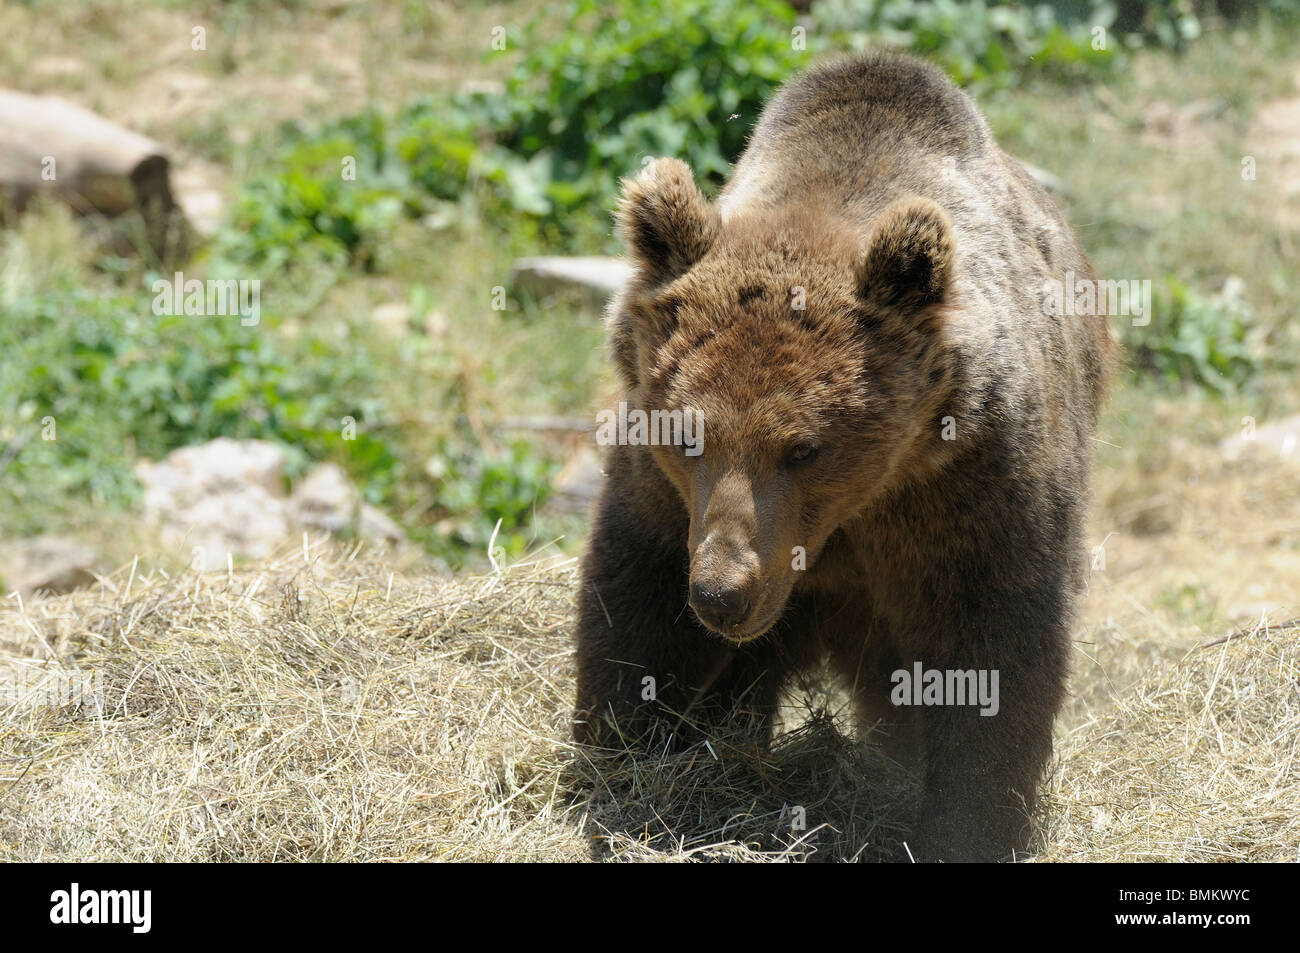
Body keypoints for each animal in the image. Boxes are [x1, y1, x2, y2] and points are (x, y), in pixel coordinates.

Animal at [573, 51, 1113, 862]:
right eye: (689, 434)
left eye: (804, 447)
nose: (723, 593)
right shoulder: (662, 491)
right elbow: (638, 607)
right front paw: (620, 756)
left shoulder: (969, 488)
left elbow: (992, 651)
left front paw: (966, 825)